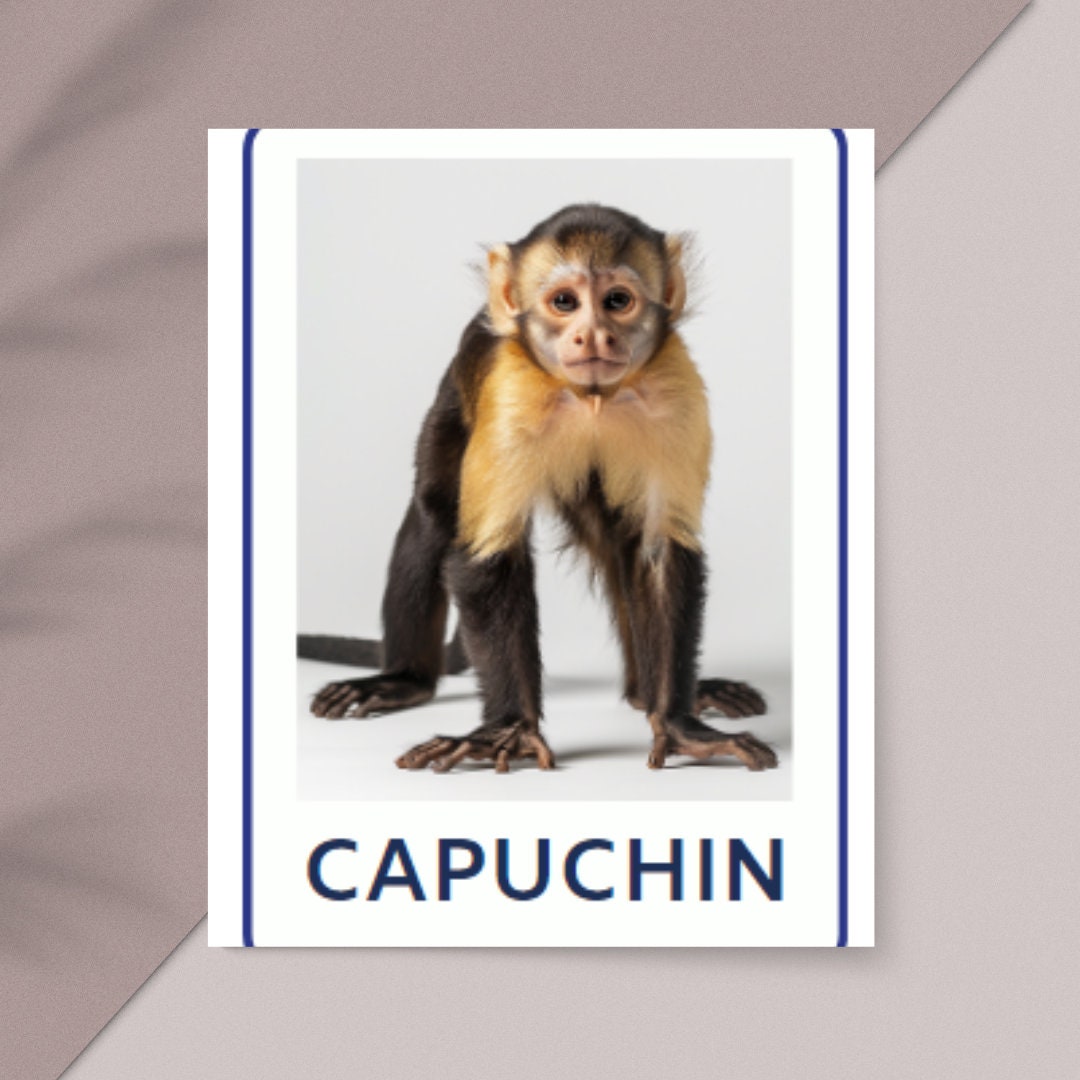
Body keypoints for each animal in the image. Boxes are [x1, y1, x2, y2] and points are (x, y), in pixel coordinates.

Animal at [299, 204, 778, 776]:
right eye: (565, 302)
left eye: (617, 301)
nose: (593, 336)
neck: (592, 397)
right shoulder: (512, 391)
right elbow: (486, 556)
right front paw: (508, 729)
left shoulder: (674, 390)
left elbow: (660, 554)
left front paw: (681, 725)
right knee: (431, 516)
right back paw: (405, 680)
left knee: (620, 545)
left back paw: (646, 695)